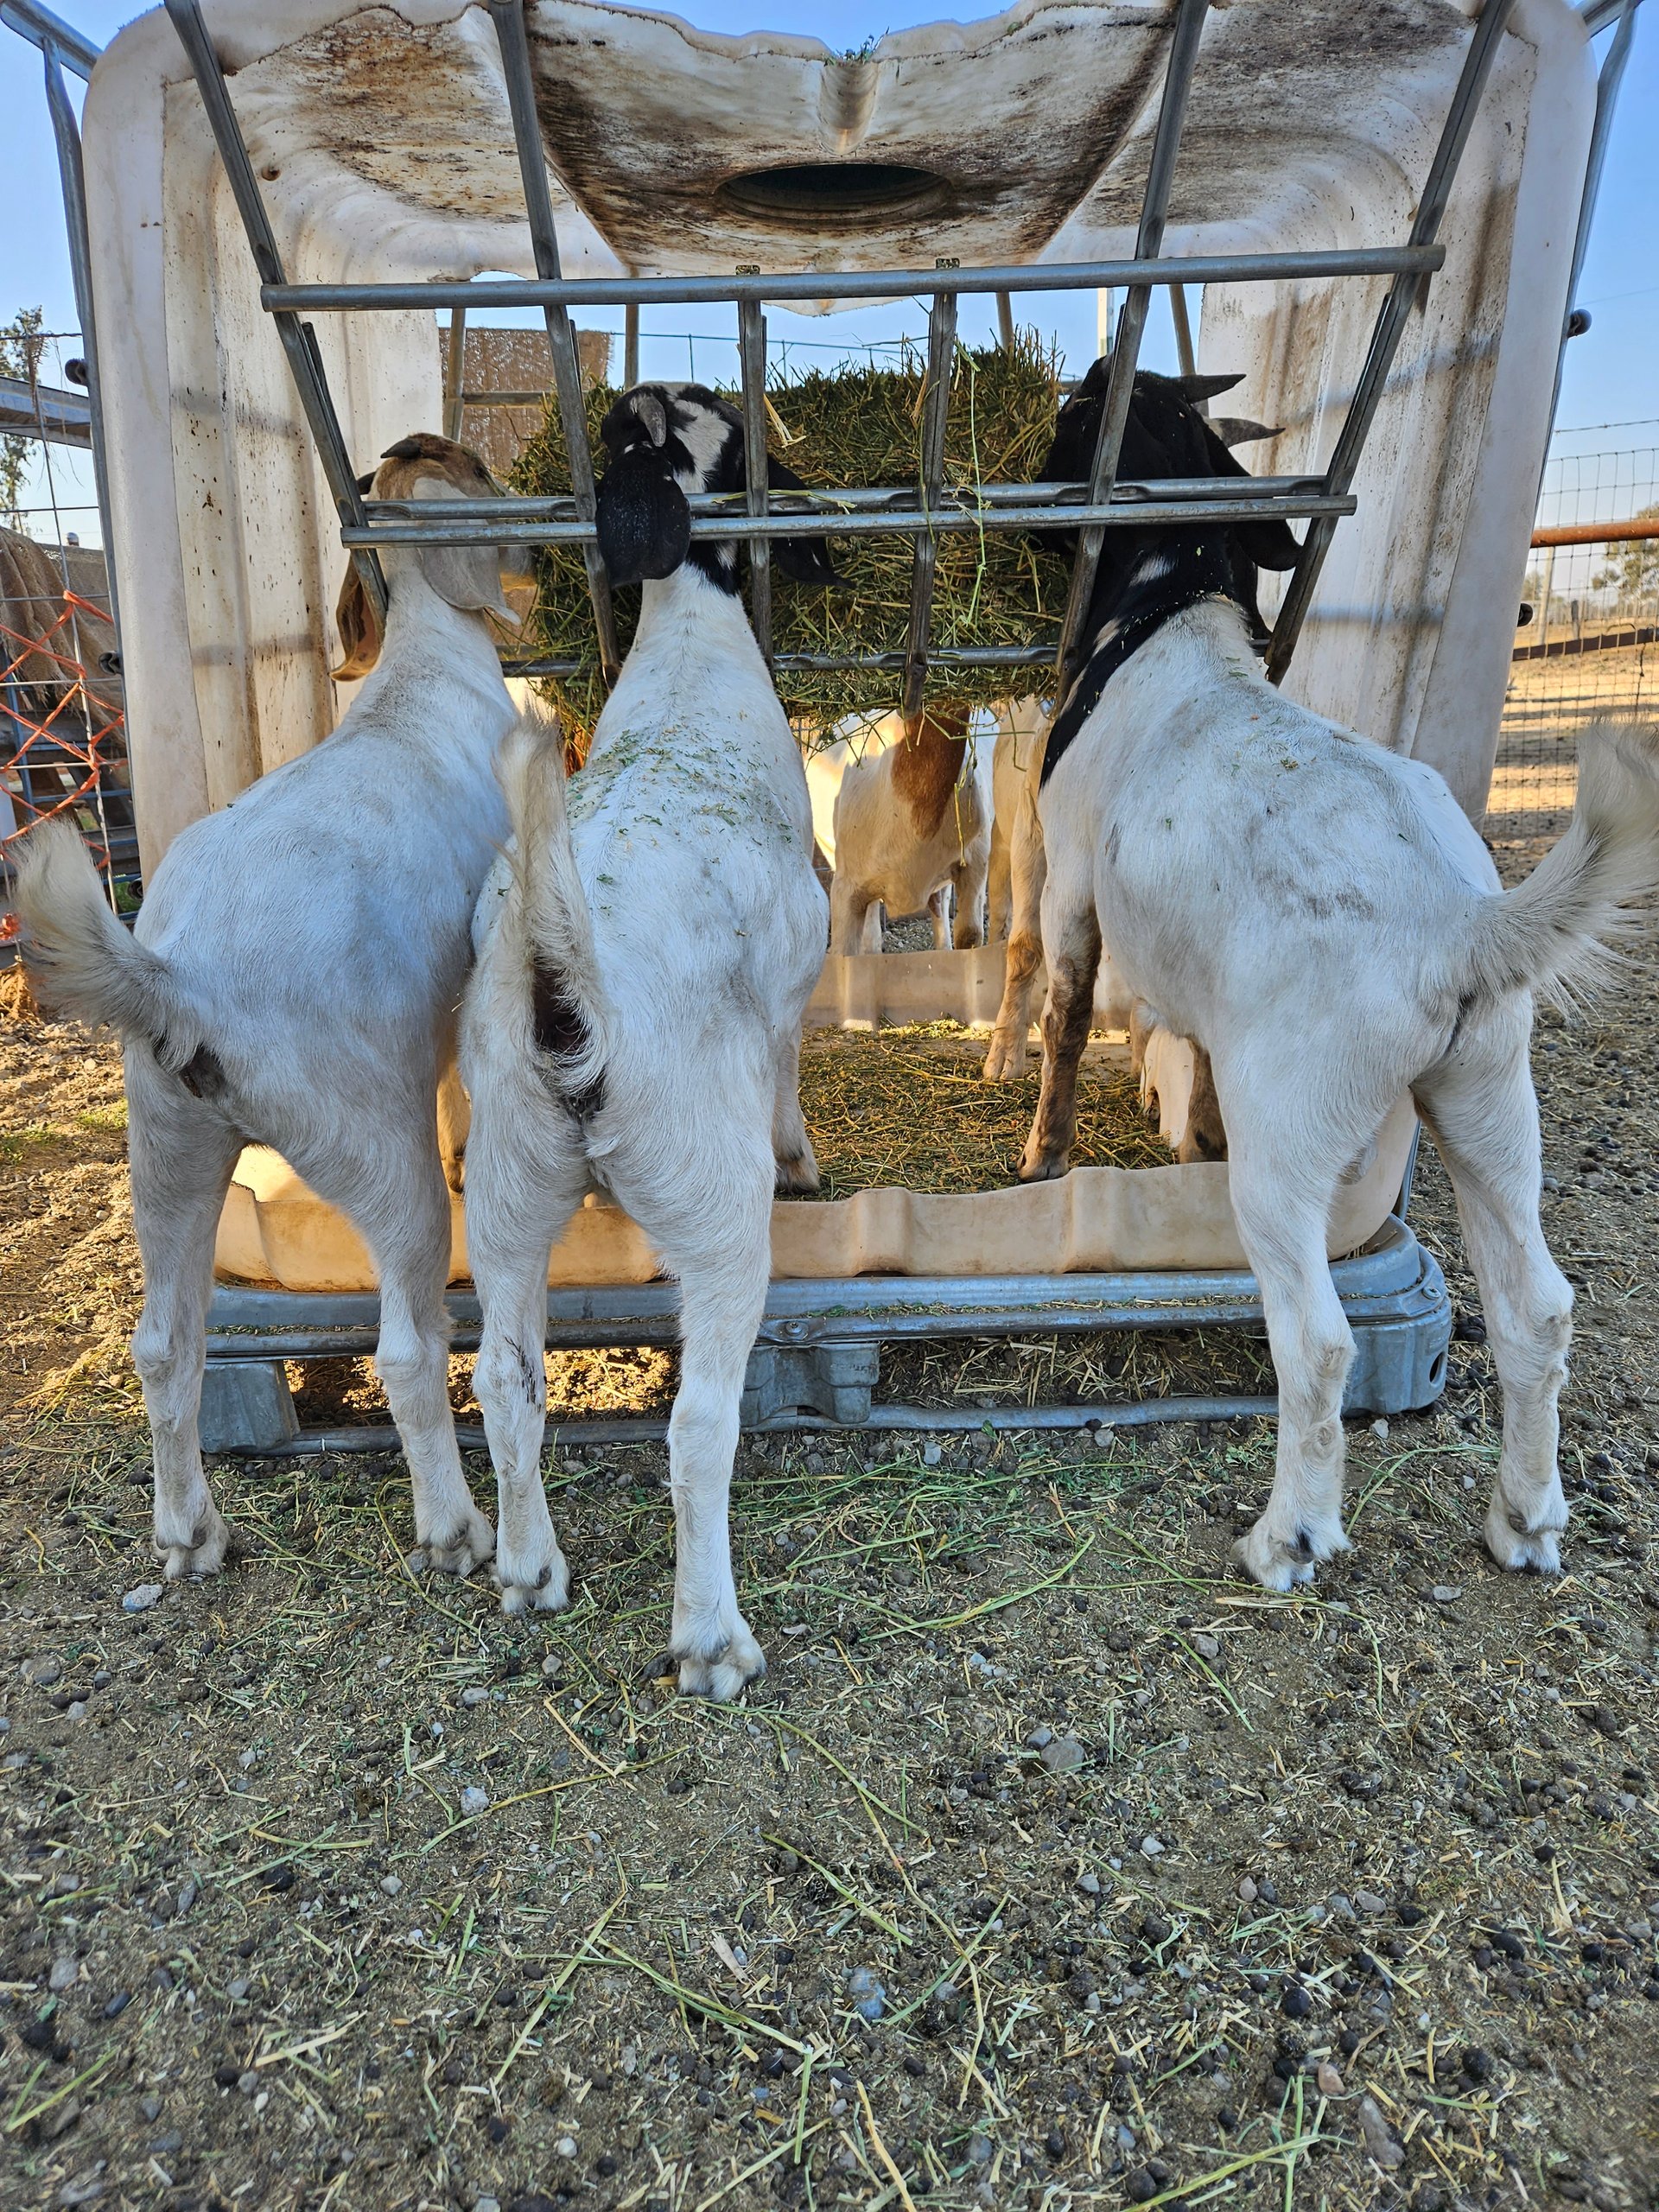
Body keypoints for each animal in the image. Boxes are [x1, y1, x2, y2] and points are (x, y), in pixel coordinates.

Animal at [14, 434, 528, 1582]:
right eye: (478, 476)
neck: (421, 667)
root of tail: (185, 983)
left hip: (165, 1139)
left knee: (164, 1340)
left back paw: (190, 1534)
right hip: (368, 1146)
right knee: (406, 1348)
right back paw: (455, 1529)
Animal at [459, 383, 839, 1692]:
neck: (689, 634)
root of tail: (565, 1001)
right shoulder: (790, 985)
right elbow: (790, 1073)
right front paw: (806, 1156)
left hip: (507, 1181)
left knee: (505, 1380)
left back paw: (530, 1571)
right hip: (714, 1203)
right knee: (697, 1426)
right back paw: (712, 1638)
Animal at [994, 359, 1659, 1591]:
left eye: (1082, 412)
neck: (1165, 617)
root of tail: (1460, 925)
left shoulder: (1069, 881)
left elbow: (1064, 1013)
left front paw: (1041, 1156)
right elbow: (1193, 1057)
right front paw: (1190, 1135)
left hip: (1301, 1124)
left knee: (1317, 1339)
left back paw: (1288, 1536)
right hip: (1491, 1090)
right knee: (1537, 1308)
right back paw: (1525, 1518)